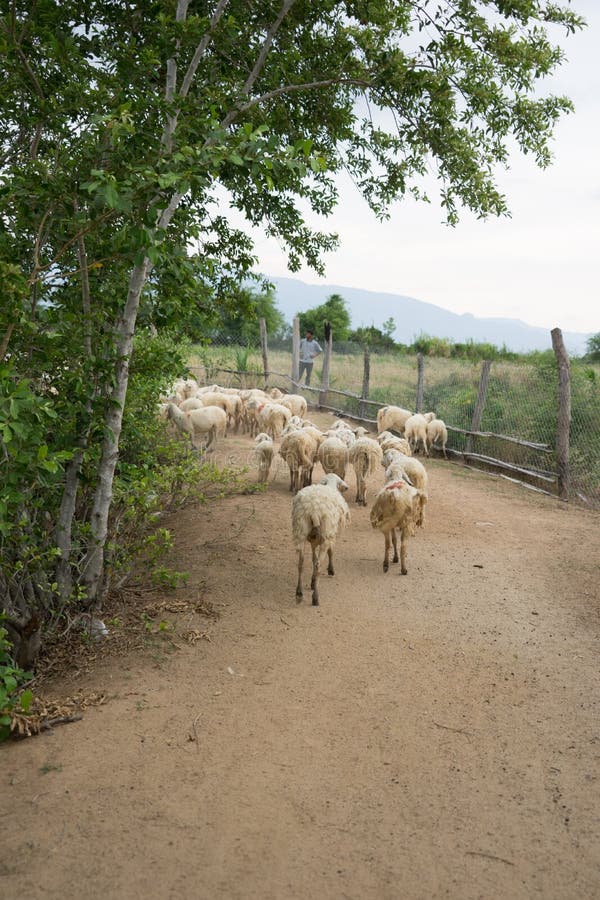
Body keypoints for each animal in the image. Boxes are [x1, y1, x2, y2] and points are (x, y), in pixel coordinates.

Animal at [291, 473, 351, 605]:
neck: (330, 485)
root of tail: (314, 510)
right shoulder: (331, 535)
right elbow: (331, 552)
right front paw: (331, 570)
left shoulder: (313, 540)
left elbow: (313, 558)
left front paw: (312, 580)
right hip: (325, 533)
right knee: (318, 565)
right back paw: (315, 597)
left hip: (301, 530)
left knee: (301, 562)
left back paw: (299, 593)